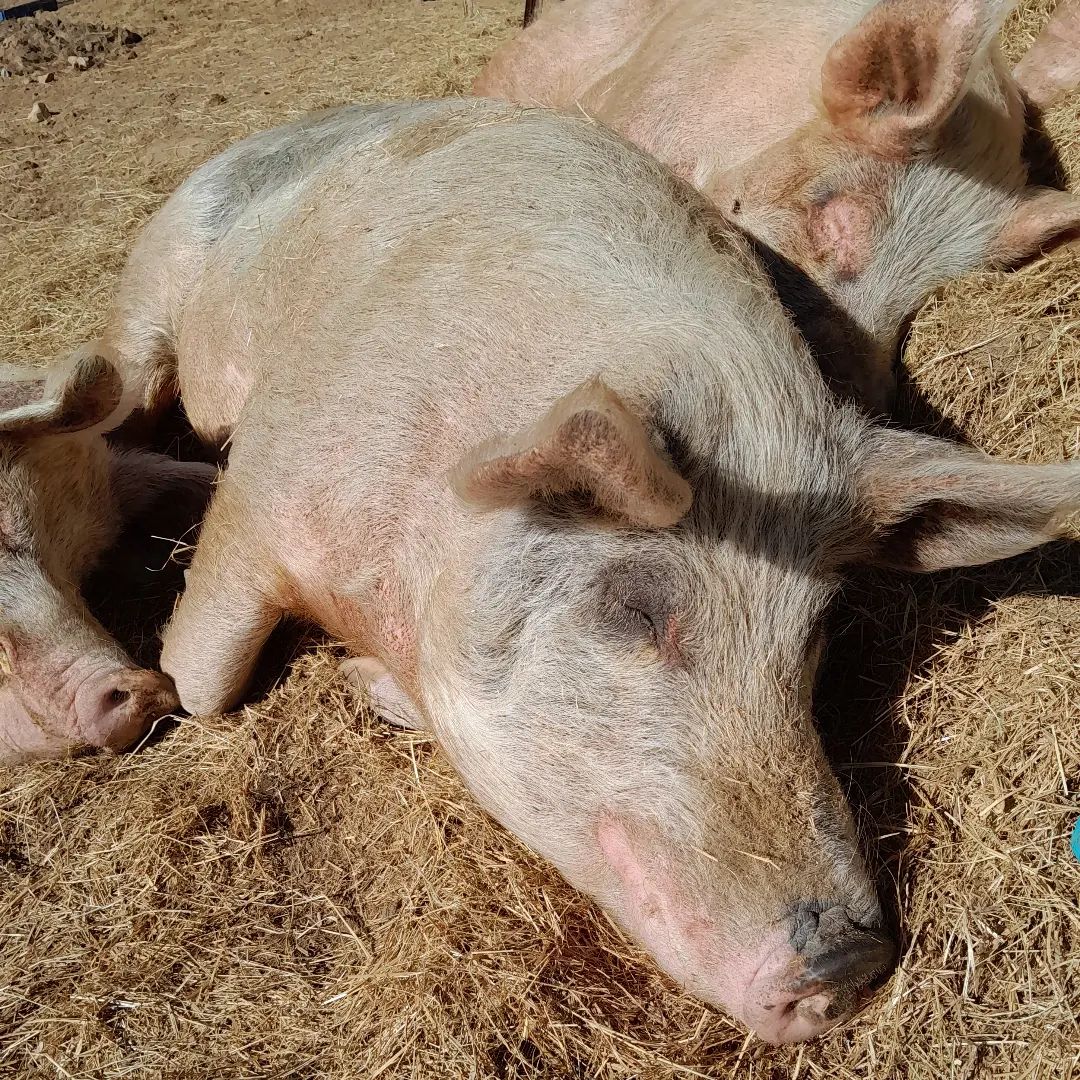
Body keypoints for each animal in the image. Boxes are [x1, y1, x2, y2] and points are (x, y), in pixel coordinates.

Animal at [98, 99, 1080, 1042]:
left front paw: (361, 682)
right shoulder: (270, 482)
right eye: (634, 608)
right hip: (154, 282)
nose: (849, 964)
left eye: (815, 636)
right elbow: (204, 682)